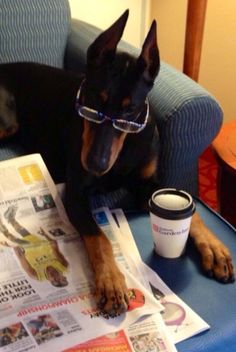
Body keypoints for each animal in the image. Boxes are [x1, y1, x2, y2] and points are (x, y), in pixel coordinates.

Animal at [0, 10, 233, 316]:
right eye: (89, 101)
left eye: (130, 111)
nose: (95, 165)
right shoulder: (75, 193)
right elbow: (99, 237)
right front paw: (111, 282)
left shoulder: (147, 185)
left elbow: (189, 210)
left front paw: (214, 248)